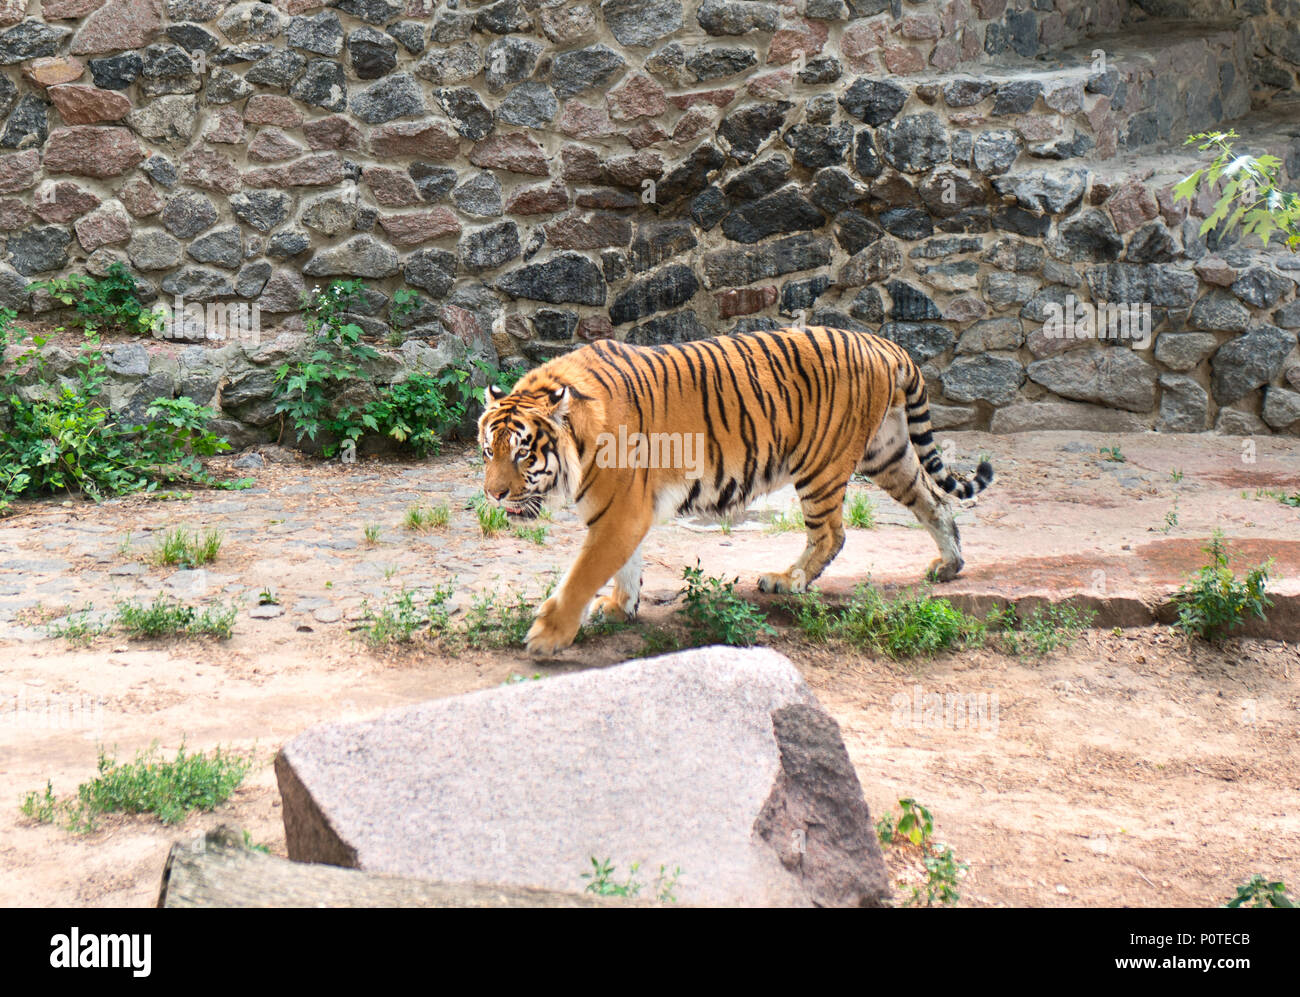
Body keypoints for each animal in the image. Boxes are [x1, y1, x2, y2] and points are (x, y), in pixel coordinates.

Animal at [477, 325, 994, 656]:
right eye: (487, 450)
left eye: (522, 453)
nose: (493, 496)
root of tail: (882, 342)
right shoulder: (622, 514)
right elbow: (626, 566)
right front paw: (620, 608)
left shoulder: (620, 511)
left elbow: (583, 574)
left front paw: (548, 635)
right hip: (888, 453)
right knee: (935, 502)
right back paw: (948, 566)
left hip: (822, 465)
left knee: (832, 533)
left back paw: (786, 580)